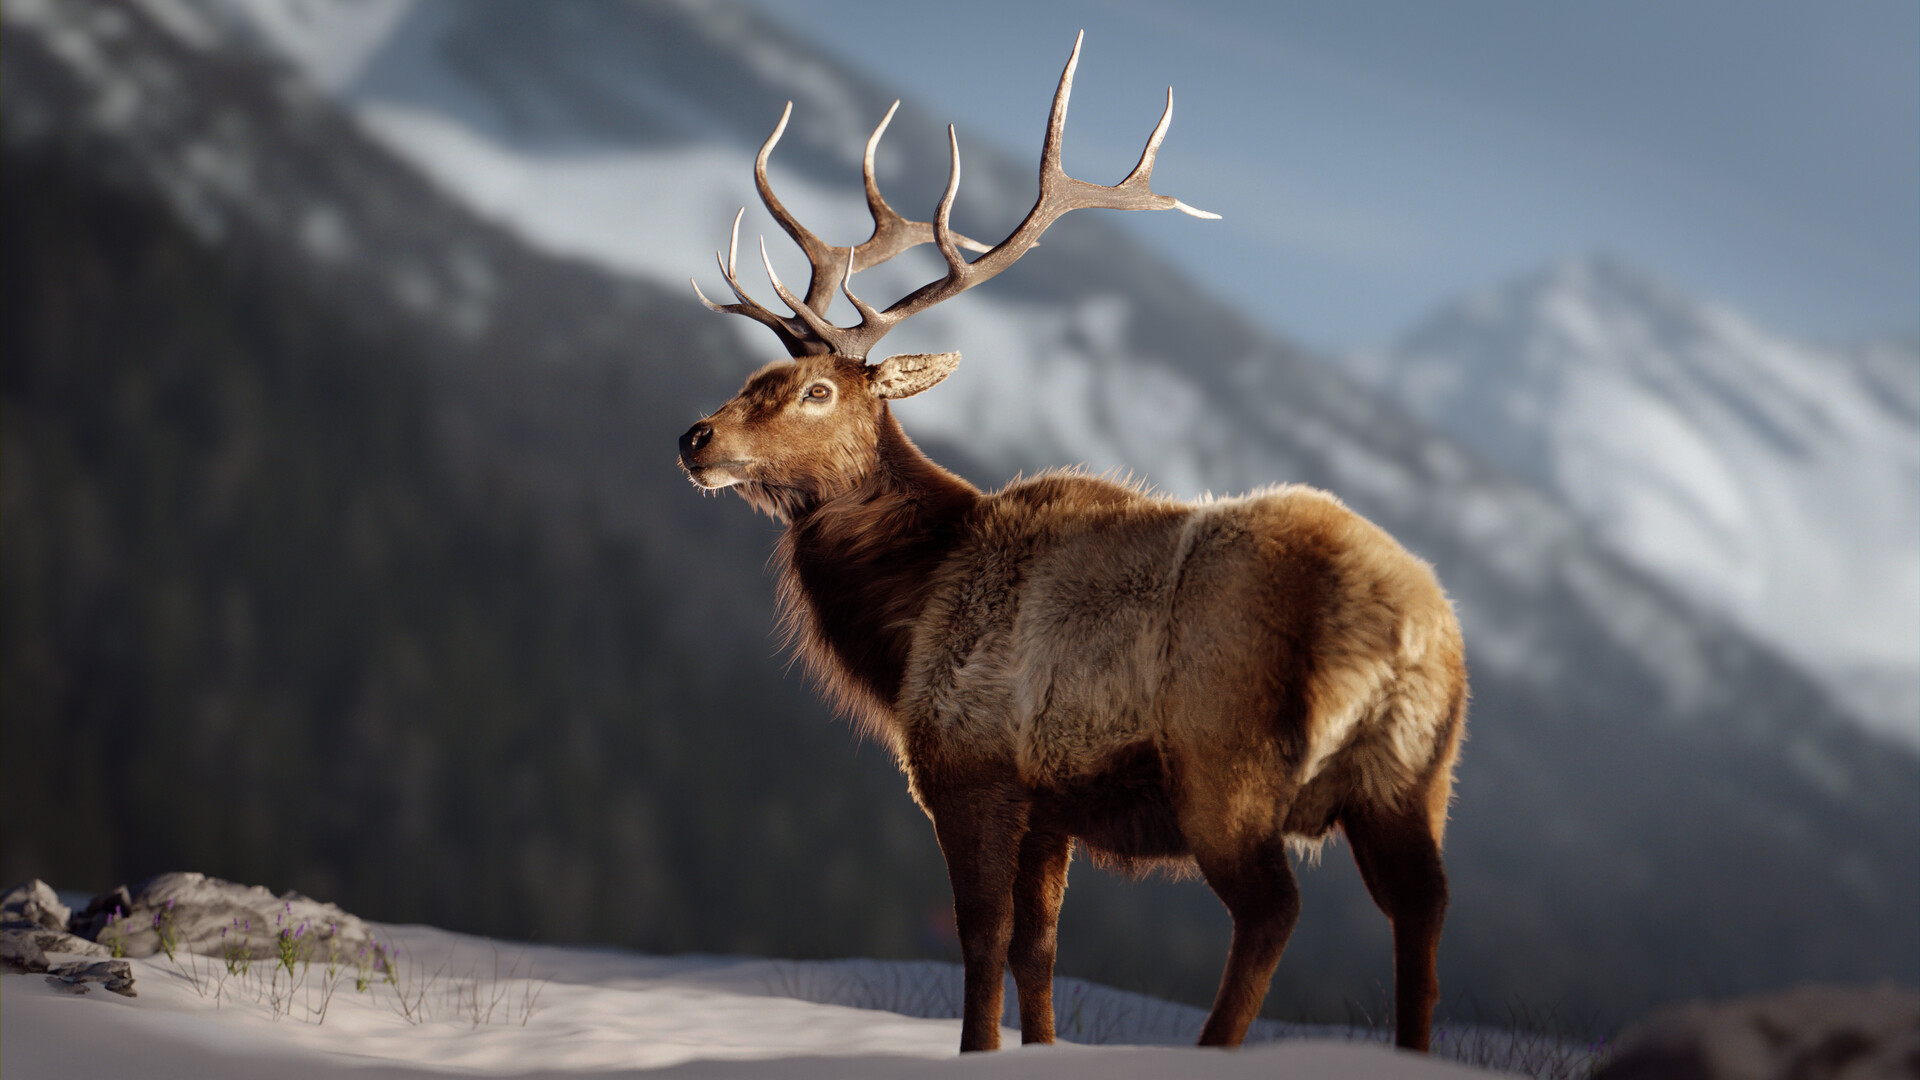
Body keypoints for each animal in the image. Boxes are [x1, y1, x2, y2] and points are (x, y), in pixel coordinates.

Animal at [676, 33, 1465, 1054]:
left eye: (817, 391)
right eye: (754, 376)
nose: (695, 439)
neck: (906, 618)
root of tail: (1412, 630)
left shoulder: (969, 767)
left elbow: (982, 943)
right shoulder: (1049, 805)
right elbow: (1039, 951)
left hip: (1228, 763)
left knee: (1272, 910)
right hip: (1414, 777)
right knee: (1425, 907)